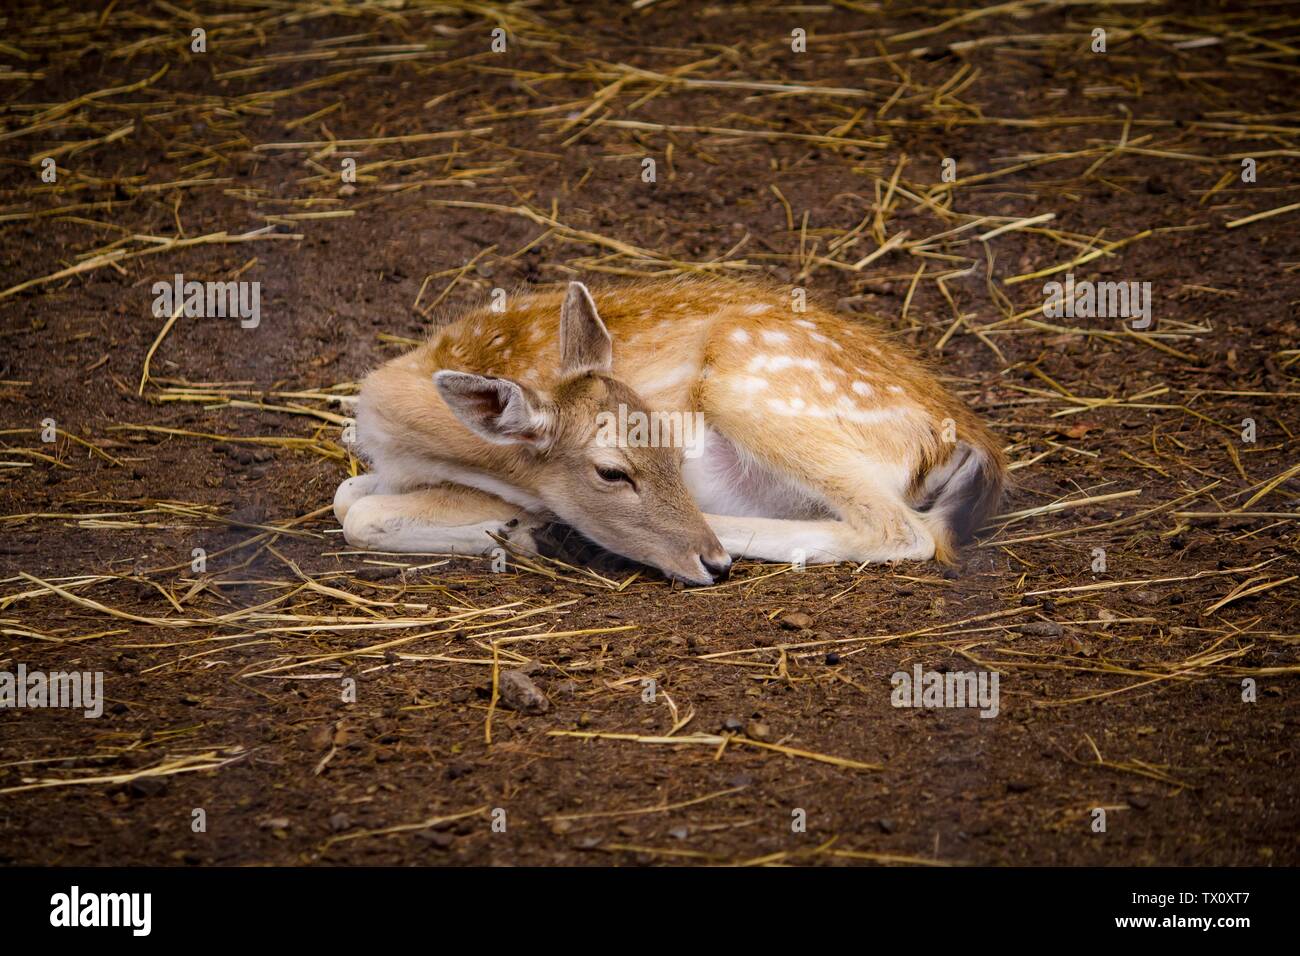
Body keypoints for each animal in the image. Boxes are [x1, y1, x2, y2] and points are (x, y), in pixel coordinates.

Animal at [334, 277, 1006, 586]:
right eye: (612, 471)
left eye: (674, 448)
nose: (710, 560)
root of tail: (958, 438)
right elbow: (347, 498)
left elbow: (356, 515)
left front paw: (524, 528)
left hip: (748, 386)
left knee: (903, 530)